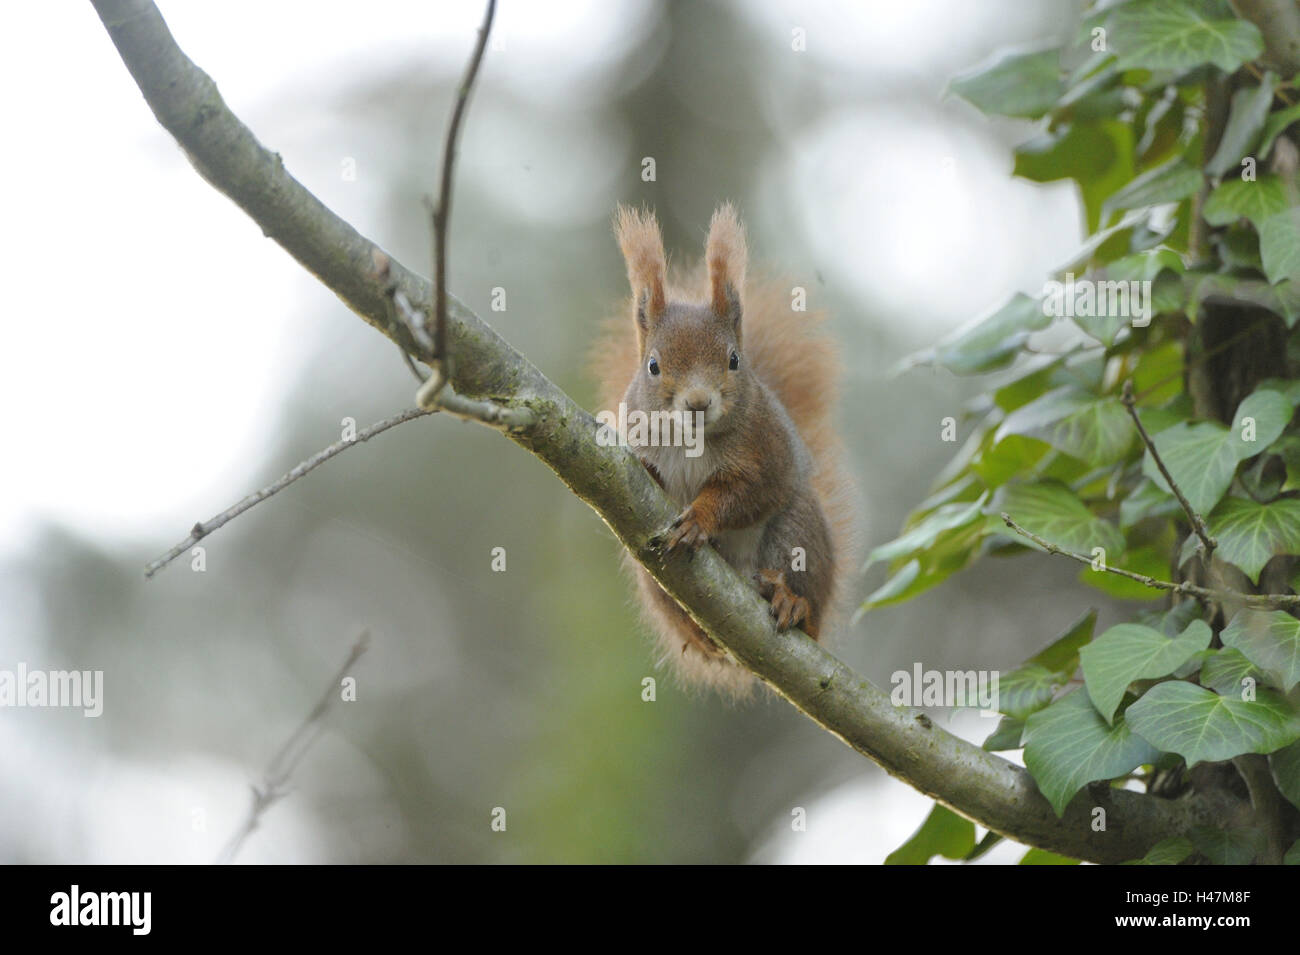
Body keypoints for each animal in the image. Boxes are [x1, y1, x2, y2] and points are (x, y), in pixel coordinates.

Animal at [593, 203, 858, 696]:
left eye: (734, 360)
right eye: (653, 365)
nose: (698, 402)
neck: (691, 439)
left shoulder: (766, 452)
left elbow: (748, 493)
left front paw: (700, 517)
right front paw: (651, 474)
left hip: (797, 532)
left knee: (805, 597)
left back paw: (792, 604)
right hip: (654, 582)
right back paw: (703, 636)